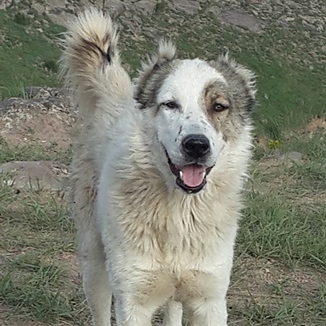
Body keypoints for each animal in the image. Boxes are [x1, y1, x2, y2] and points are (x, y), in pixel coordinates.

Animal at [59, 7, 256, 326]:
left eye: (218, 106)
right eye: (170, 105)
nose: (196, 145)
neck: (179, 212)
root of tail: (117, 99)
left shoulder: (210, 301)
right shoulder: (133, 302)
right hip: (94, 265)